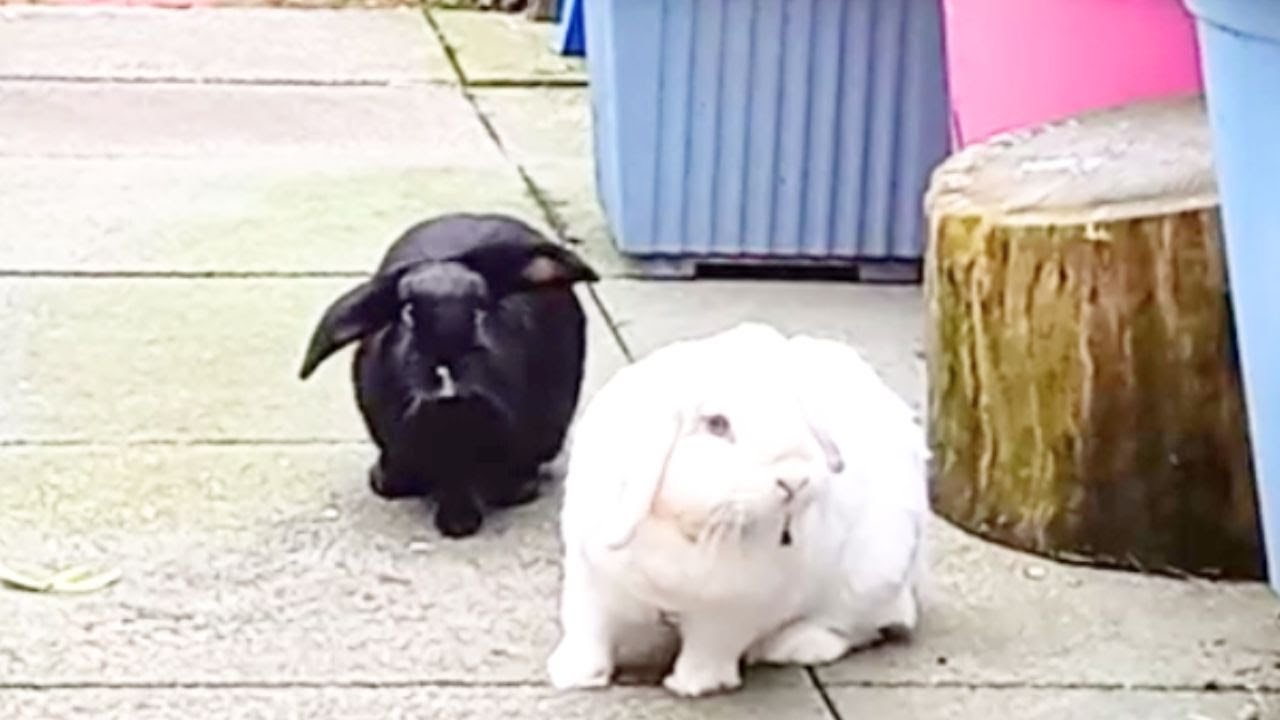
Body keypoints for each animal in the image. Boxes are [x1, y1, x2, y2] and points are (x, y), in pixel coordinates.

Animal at [545, 322, 928, 697]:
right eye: (717, 424)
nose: (794, 479)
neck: (688, 526)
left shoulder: (733, 611)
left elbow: (709, 648)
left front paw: (693, 686)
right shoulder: (591, 580)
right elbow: (589, 630)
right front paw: (573, 676)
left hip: (870, 576)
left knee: (858, 626)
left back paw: (791, 646)